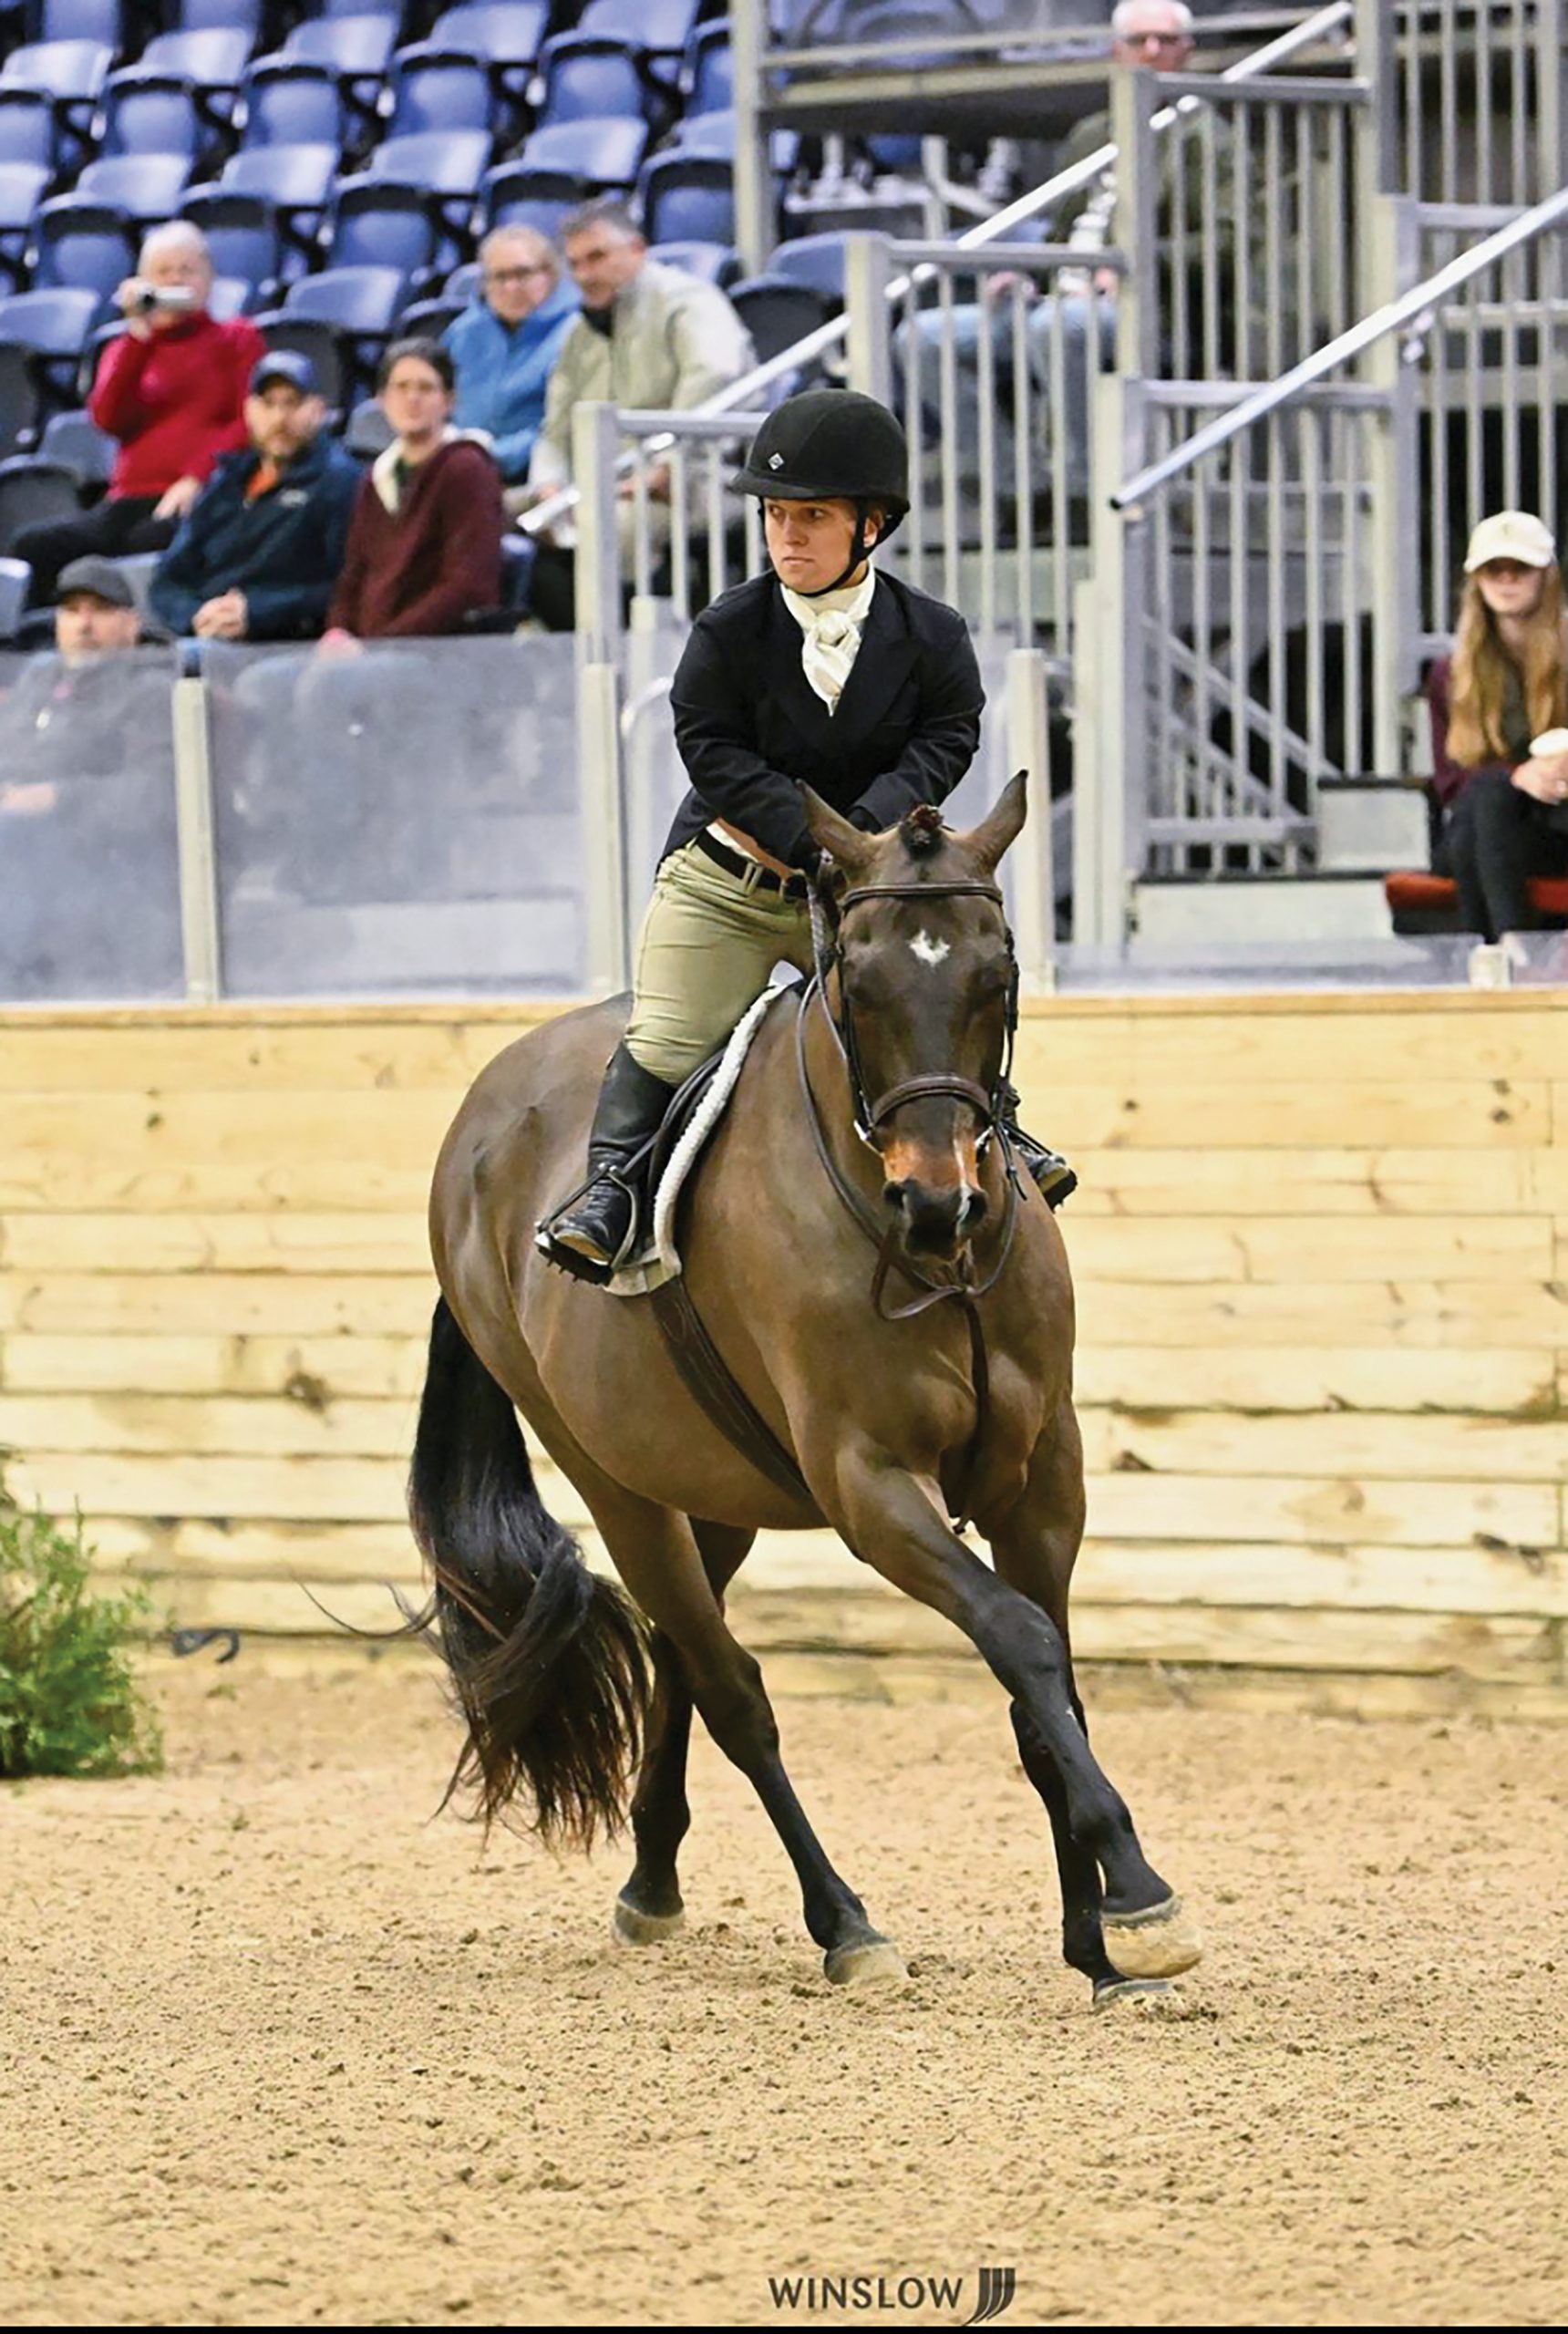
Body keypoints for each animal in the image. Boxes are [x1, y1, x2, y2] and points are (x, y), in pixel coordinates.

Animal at [410, 775, 1201, 2004]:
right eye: (861, 987)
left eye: (998, 973)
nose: (941, 1203)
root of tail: (478, 1124)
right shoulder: (869, 1486)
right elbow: (1019, 1641)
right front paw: (1137, 1892)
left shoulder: (1042, 1479)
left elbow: (1046, 1697)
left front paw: (1097, 1950)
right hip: (615, 1484)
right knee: (732, 1689)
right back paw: (845, 1923)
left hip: (710, 1489)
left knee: (683, 1655)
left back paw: (652, 1882)